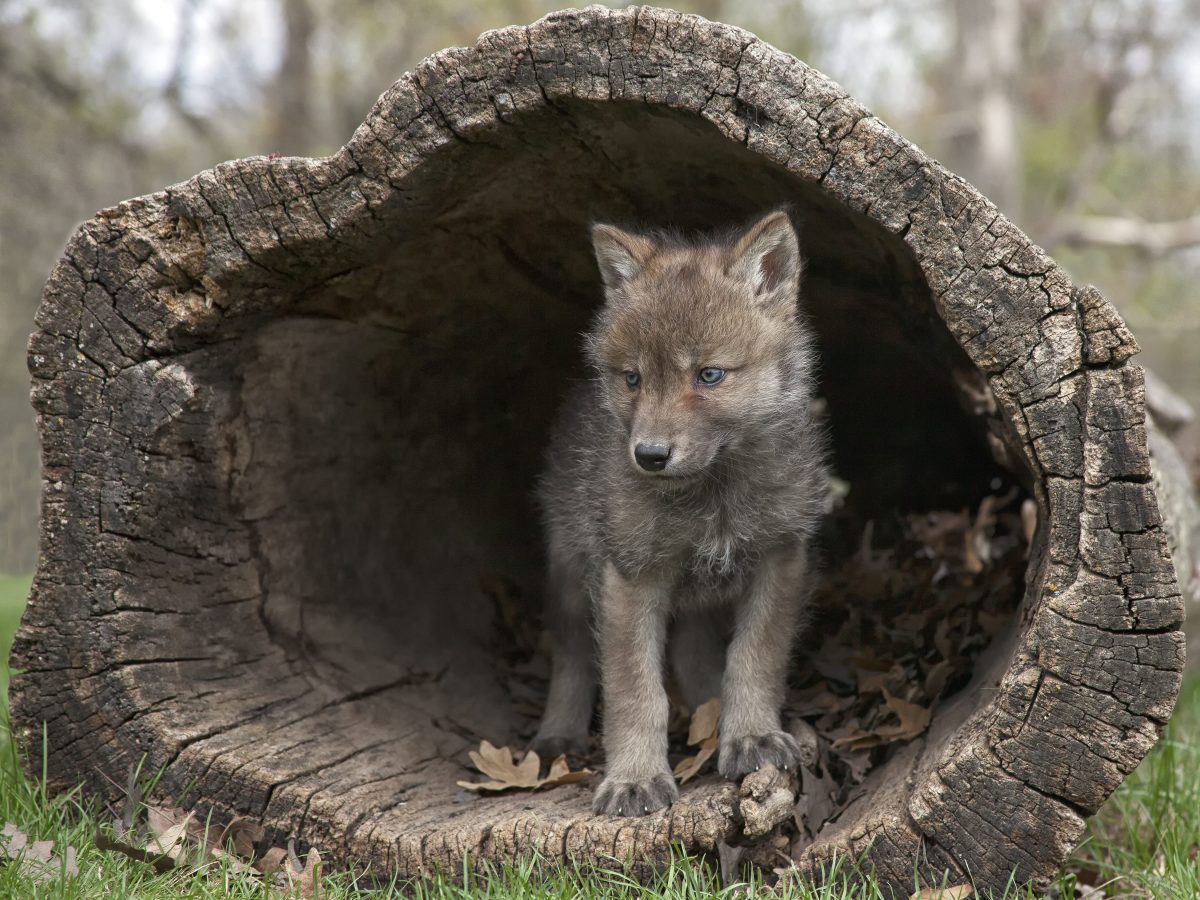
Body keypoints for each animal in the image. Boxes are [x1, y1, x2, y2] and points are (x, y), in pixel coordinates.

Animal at [533, 209, 828, 817]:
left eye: (709, 375)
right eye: (633, 378)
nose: (649, 455)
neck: (712, 499)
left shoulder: (781, 555)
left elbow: (754, 658)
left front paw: (750, 736)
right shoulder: (630, 576)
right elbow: (634, 691)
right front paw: (634, 779)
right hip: (570, 574)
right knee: (572, 656)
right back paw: (558, 736)